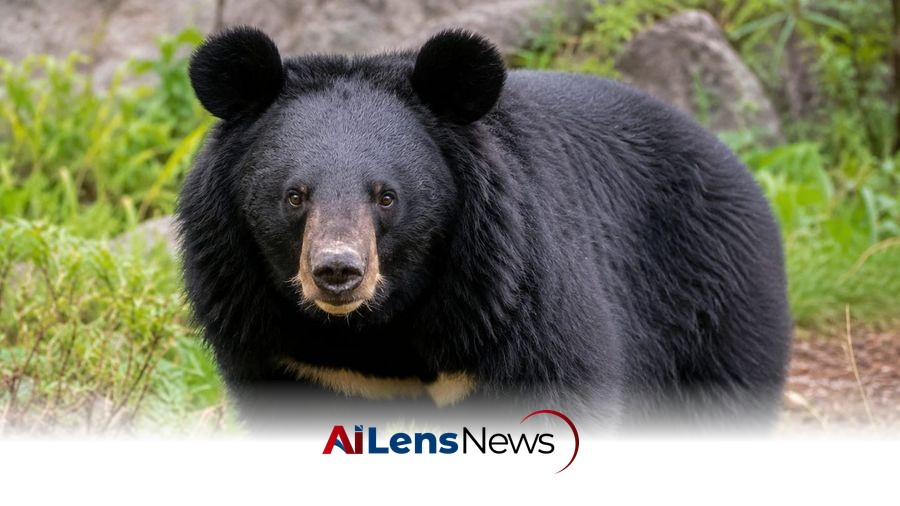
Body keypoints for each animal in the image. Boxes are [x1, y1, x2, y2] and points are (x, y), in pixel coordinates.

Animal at [178, 26, 792, 433]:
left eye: (386, 196)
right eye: (295, 196)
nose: (337, 272)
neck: (377, 328)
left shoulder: (511, 296)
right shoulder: (284, 347)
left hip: (709, 309)